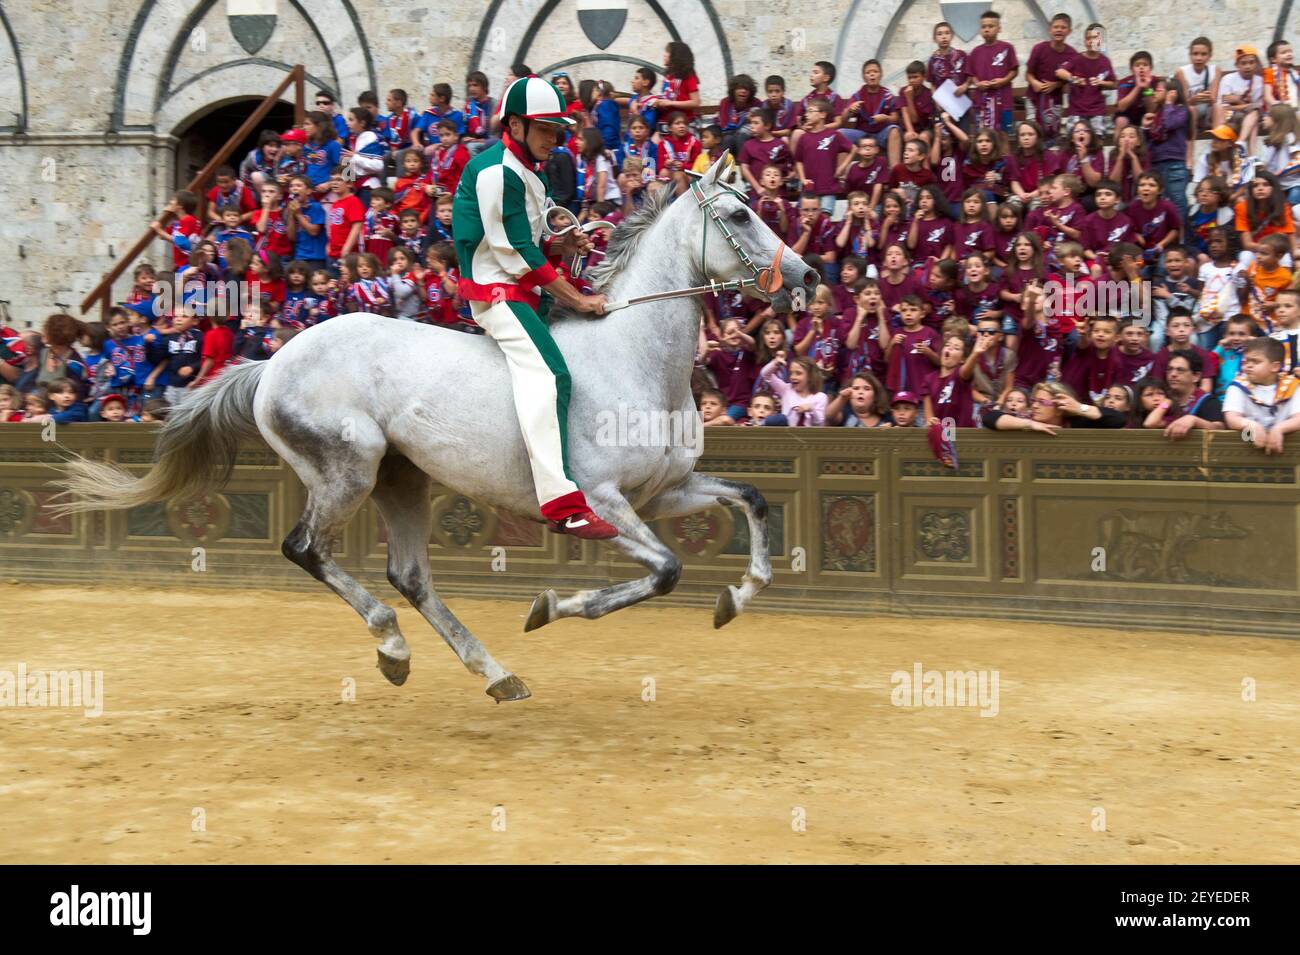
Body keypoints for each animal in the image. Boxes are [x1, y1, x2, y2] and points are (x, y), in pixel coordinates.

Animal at [54, 155, 819, 702]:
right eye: (740, 214)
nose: (810, 277)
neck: (634, 359)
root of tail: (274, 362)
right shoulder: (604, 501)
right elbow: (664, 570)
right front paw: (551, 604)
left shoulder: (666, 492)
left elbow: (751, 499)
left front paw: (737, 595)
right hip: (350, 468)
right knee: (307, 548)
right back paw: (393, 647)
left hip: (402, 477)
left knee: (410, 575)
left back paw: (493, 673)